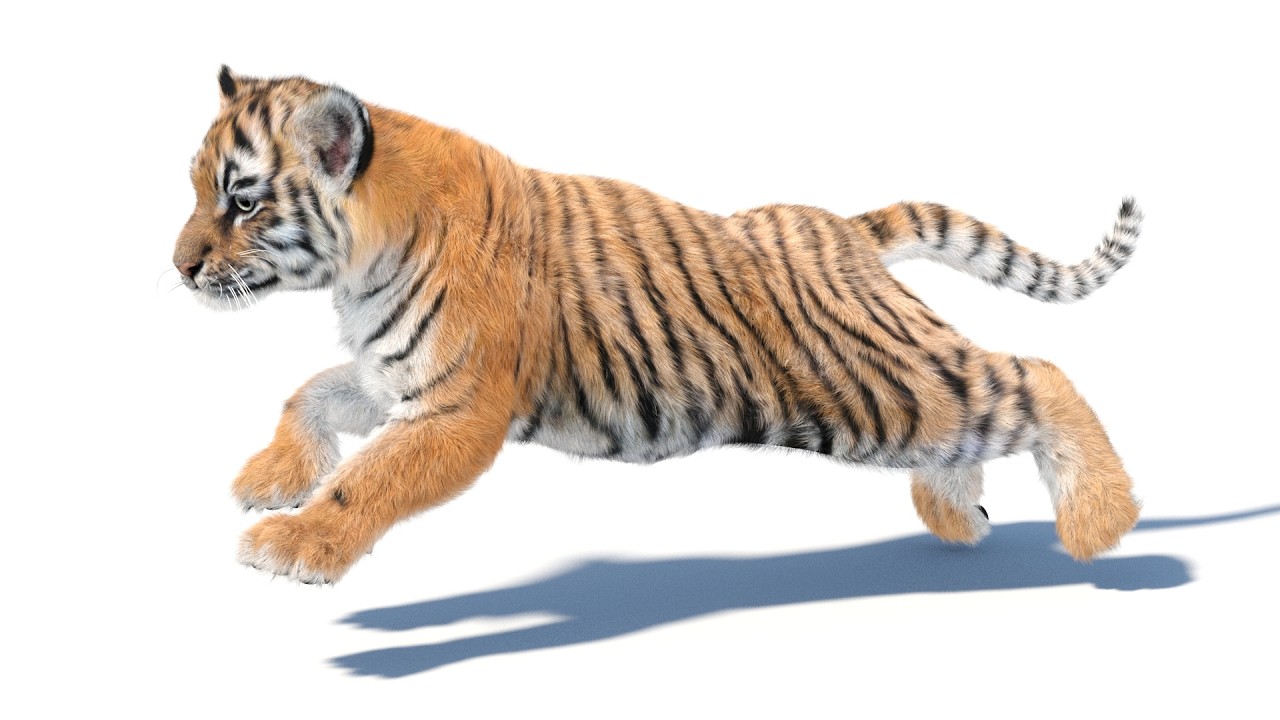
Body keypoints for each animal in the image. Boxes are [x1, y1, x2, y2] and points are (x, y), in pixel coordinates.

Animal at [173, 67, 1142, 584]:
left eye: (243, 200)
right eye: (196, 187)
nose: (179, 267)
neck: (359, 266)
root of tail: (840, 226)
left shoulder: (458, 408)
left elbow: (368, 480)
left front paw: (293, 543)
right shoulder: (392, 377)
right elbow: (308, 395)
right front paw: (267, 480)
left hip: (872, 390)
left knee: (1036, 374)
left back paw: (1103, 521)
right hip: (892, 400)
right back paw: (958, 515)